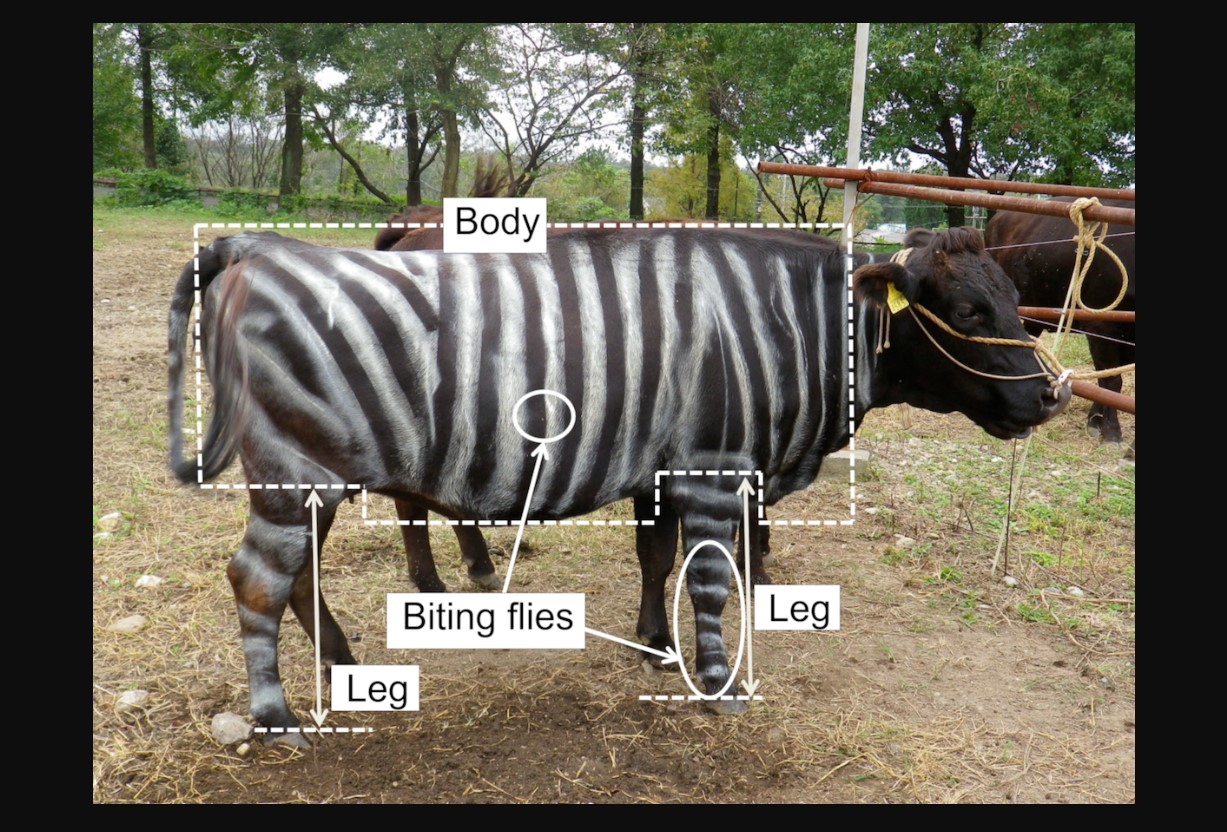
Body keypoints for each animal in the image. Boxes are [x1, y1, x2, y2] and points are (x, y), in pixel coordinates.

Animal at [168, 226, 1070, 743]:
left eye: (1014, 303)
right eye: (967, 312)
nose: (1053, 397)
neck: (784, 325)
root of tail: (255, 248)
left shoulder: (663, 469)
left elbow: (654, 559)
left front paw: (654, 648)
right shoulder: (711, 468)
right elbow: (707, 579)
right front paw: (716, 683)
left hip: (319, 477)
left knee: (295, 578)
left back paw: (341, 663)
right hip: (297, 473)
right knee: (256, 580)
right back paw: (276, 718)